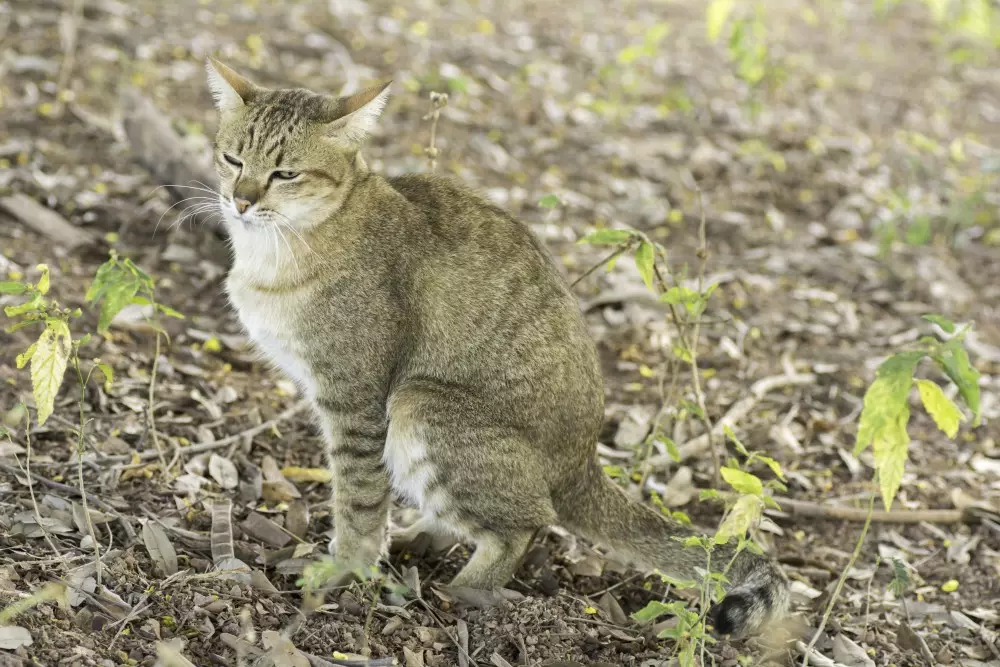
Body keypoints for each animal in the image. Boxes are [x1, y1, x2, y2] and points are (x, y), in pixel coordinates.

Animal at [209, 58, 788, 636]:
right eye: (232, 159)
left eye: (286, 174)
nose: (241, 200)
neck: (282, 250)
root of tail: (585, 463)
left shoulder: (356, 399)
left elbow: (359, 497)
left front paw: (344, 567)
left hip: (420, 404)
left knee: (526, 525)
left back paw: (457, 591)